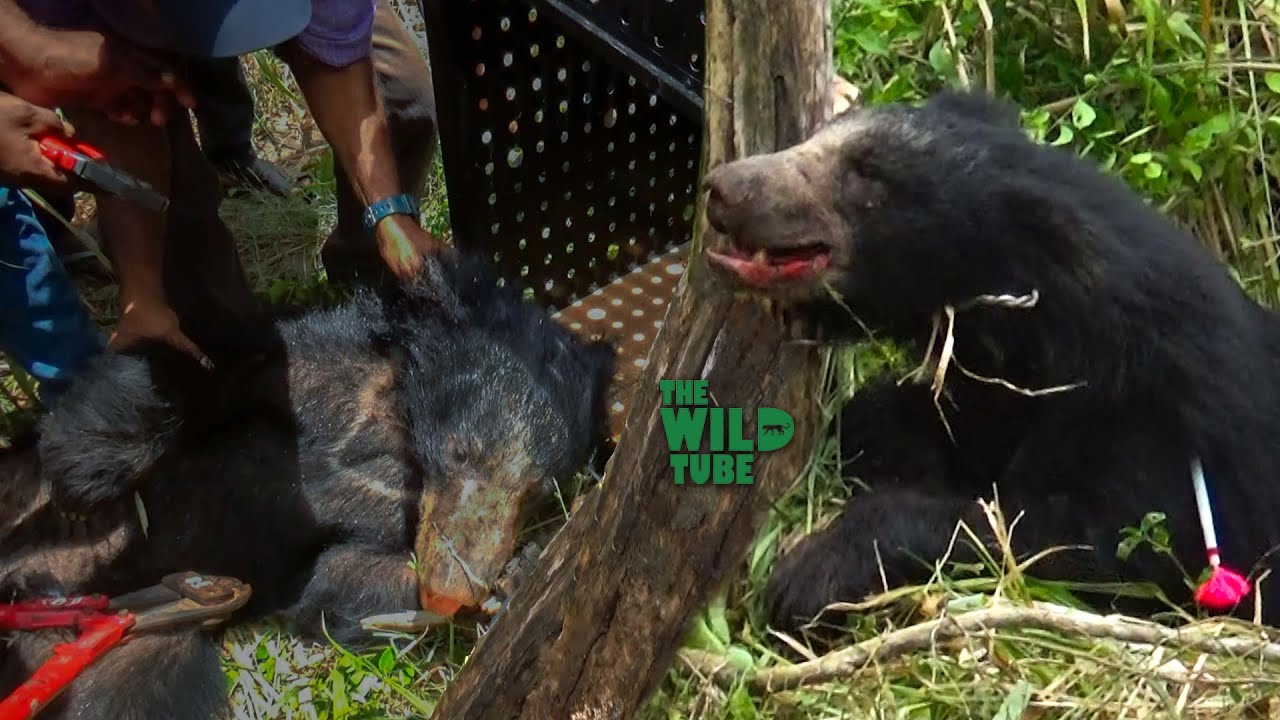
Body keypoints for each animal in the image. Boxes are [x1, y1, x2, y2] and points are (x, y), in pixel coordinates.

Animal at [0, 248, 616, 720]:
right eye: (462, 452)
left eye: (535, 493)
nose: (451, 589)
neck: (400, 430)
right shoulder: (311, 366)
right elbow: (200, 370)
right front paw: (82, 472)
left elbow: (336, 584)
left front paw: (516, 583)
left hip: (128, 656)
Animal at [700, 88, 1280, 634]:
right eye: (815, 137)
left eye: (867, 173)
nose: (723, 187)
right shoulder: (995, 384)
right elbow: (897, 420)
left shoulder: (1151, 425)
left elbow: (1100, 548)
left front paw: (810, 573)